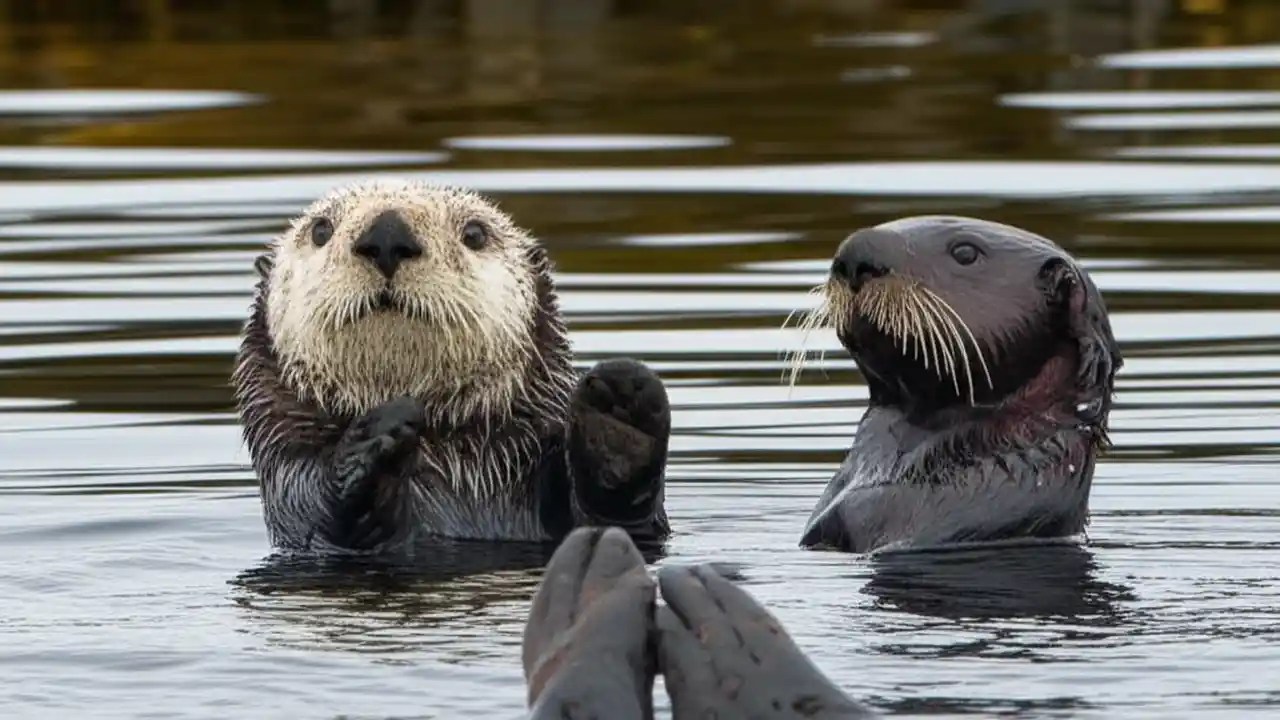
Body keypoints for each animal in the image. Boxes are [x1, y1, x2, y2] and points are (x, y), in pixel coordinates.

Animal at [232, 181, 671, 551]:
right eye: (320, 229)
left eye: (475, 233)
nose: (387, 235)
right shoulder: (296, 488)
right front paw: (377, 436)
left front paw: (618, 419)